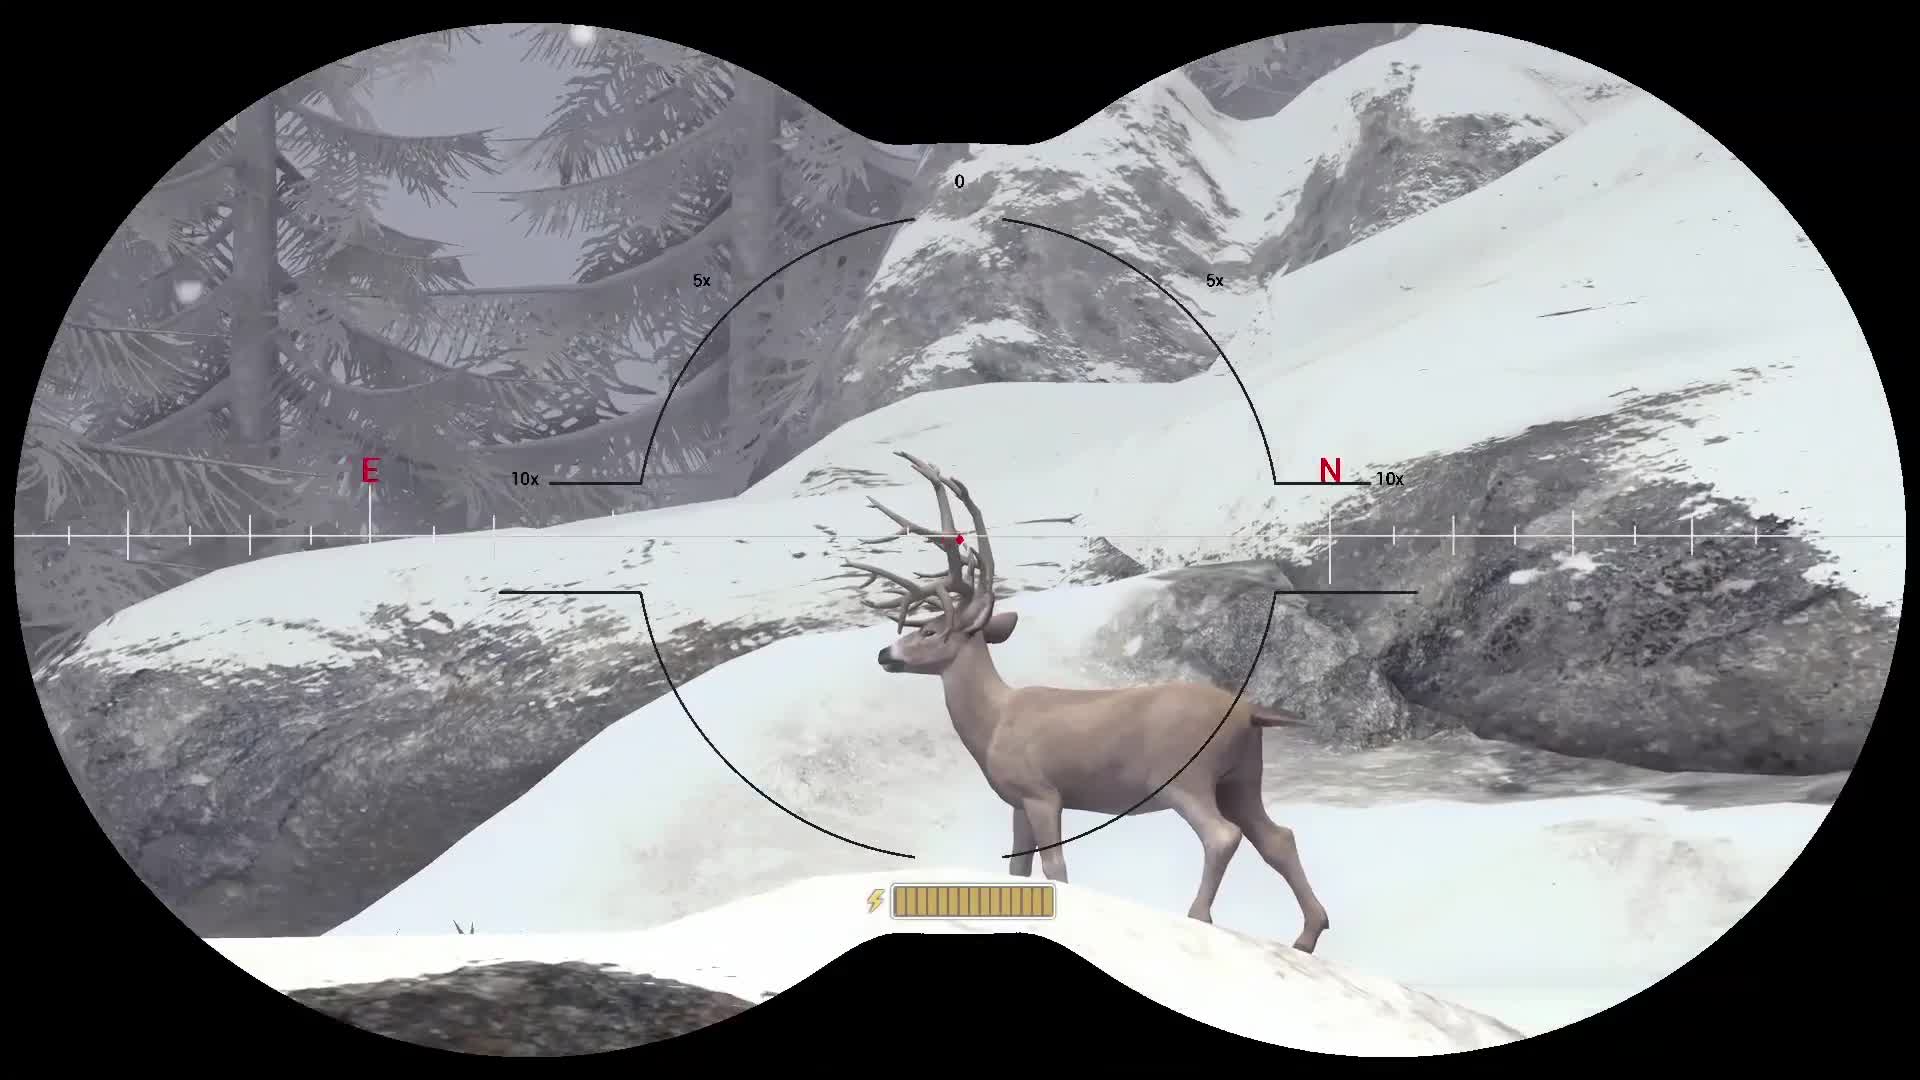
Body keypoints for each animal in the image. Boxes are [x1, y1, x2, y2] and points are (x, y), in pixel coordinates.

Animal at [841, 451, 1332, 953]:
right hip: (1242, 777)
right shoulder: (1017, 800)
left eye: (928, 630)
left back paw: (1199, 916)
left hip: (1185, 775)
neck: (993, 722)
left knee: (1222, 836)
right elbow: (1018, 868)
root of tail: (1250, 712)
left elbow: (1055, 868)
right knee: (1277, 837)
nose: (885, 654)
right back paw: (1307, 935)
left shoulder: (1042, 790)